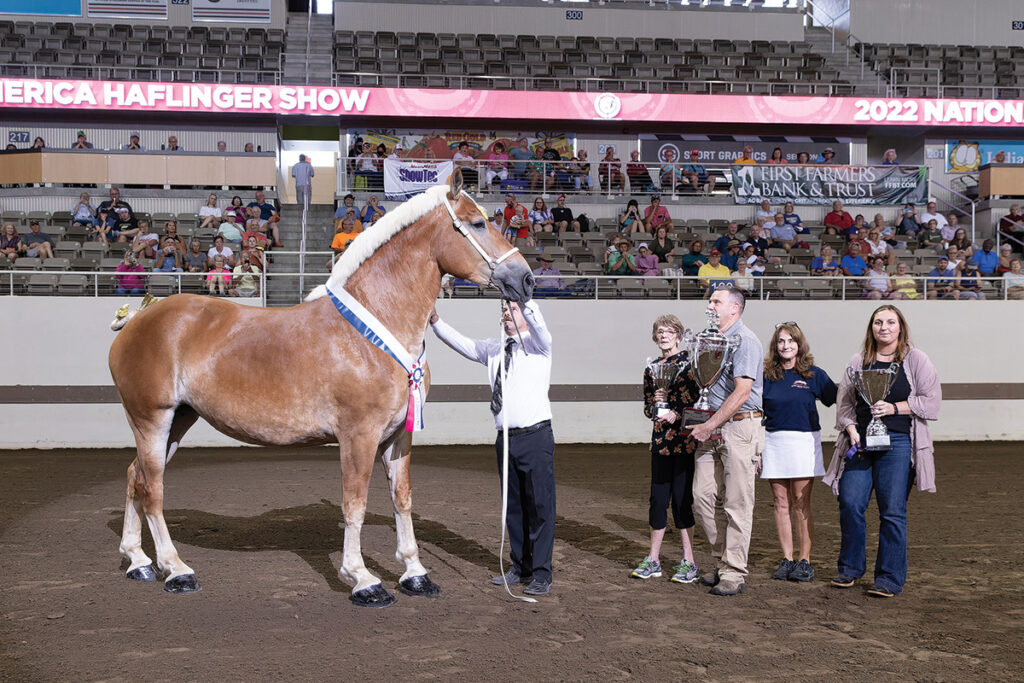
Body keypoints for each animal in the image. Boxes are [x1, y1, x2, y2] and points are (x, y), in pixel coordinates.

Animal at [108, 170, 534, 607]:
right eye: (478, 223)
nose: (525, 279)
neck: (374, 327)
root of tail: (138, 318)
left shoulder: (398, 435)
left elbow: (402, 498)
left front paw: (415, 574)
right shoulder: (358, 436)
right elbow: (355, 504)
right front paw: (363, 579)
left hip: (178, 420)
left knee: (134, 477)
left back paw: (138, 561)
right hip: (152, 420)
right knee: (152, 490)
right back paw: (176, 570)